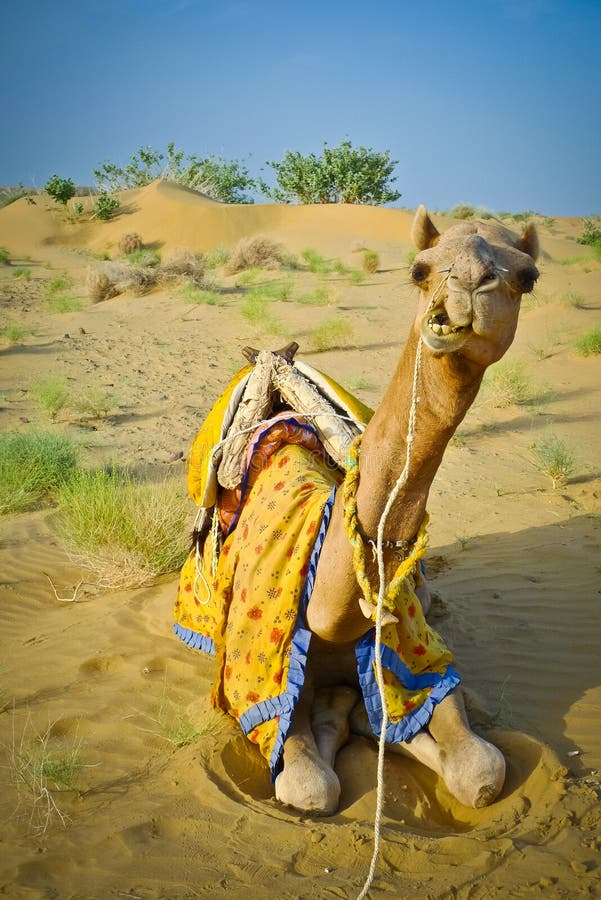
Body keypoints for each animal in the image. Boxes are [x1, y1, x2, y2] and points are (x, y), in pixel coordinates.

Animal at [175, 206, 539, 816]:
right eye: (419, 270)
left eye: (527, 276)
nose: (466, 286)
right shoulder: (258, 683)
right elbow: (309, 785)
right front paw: (339, 719)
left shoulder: (418, 656)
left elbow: (482, 770)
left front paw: (370, 723)